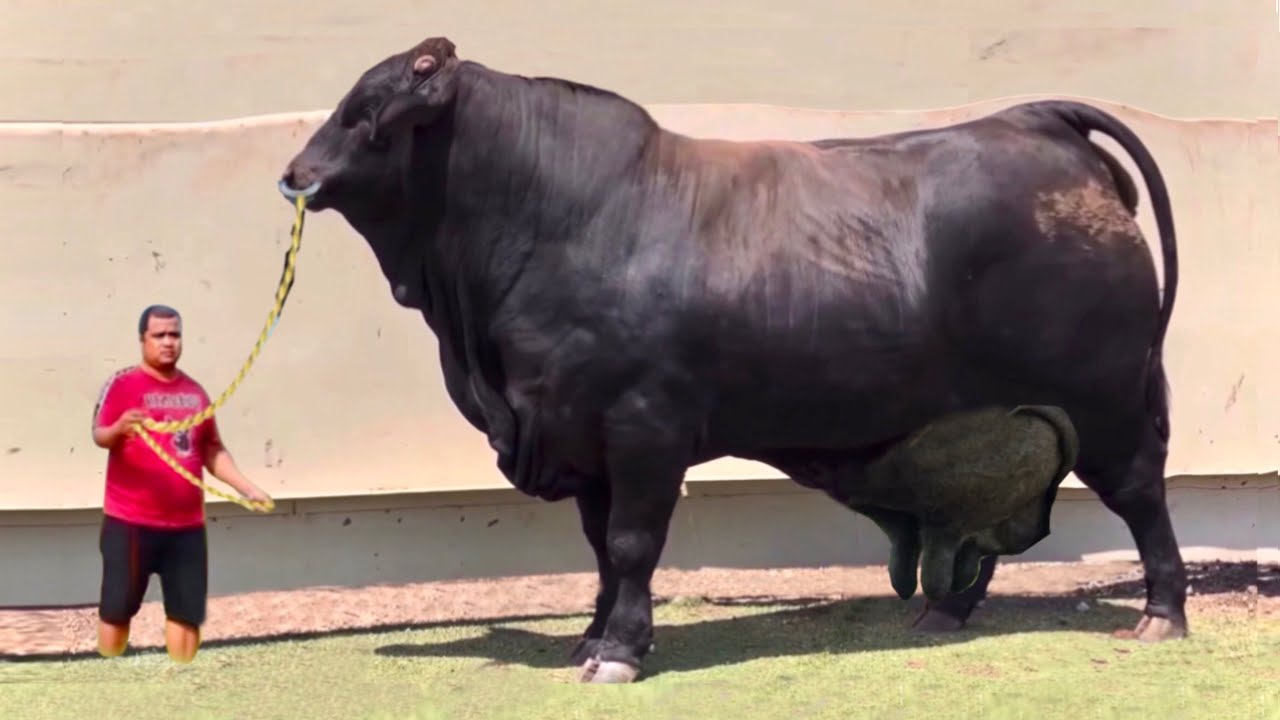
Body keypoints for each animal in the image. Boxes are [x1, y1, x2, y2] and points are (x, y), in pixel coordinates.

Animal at [279, 36, 1183, 683]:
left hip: (1107, 401)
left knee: (1141, 495)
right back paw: (944, 613)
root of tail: (1034, 121)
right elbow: (600, 547)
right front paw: (591, 637)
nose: (295, 175)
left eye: (366, 108)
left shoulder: (643, 428)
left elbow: (633, 542)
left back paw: (1162, 612)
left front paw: (619, 651)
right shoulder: (582, 434)